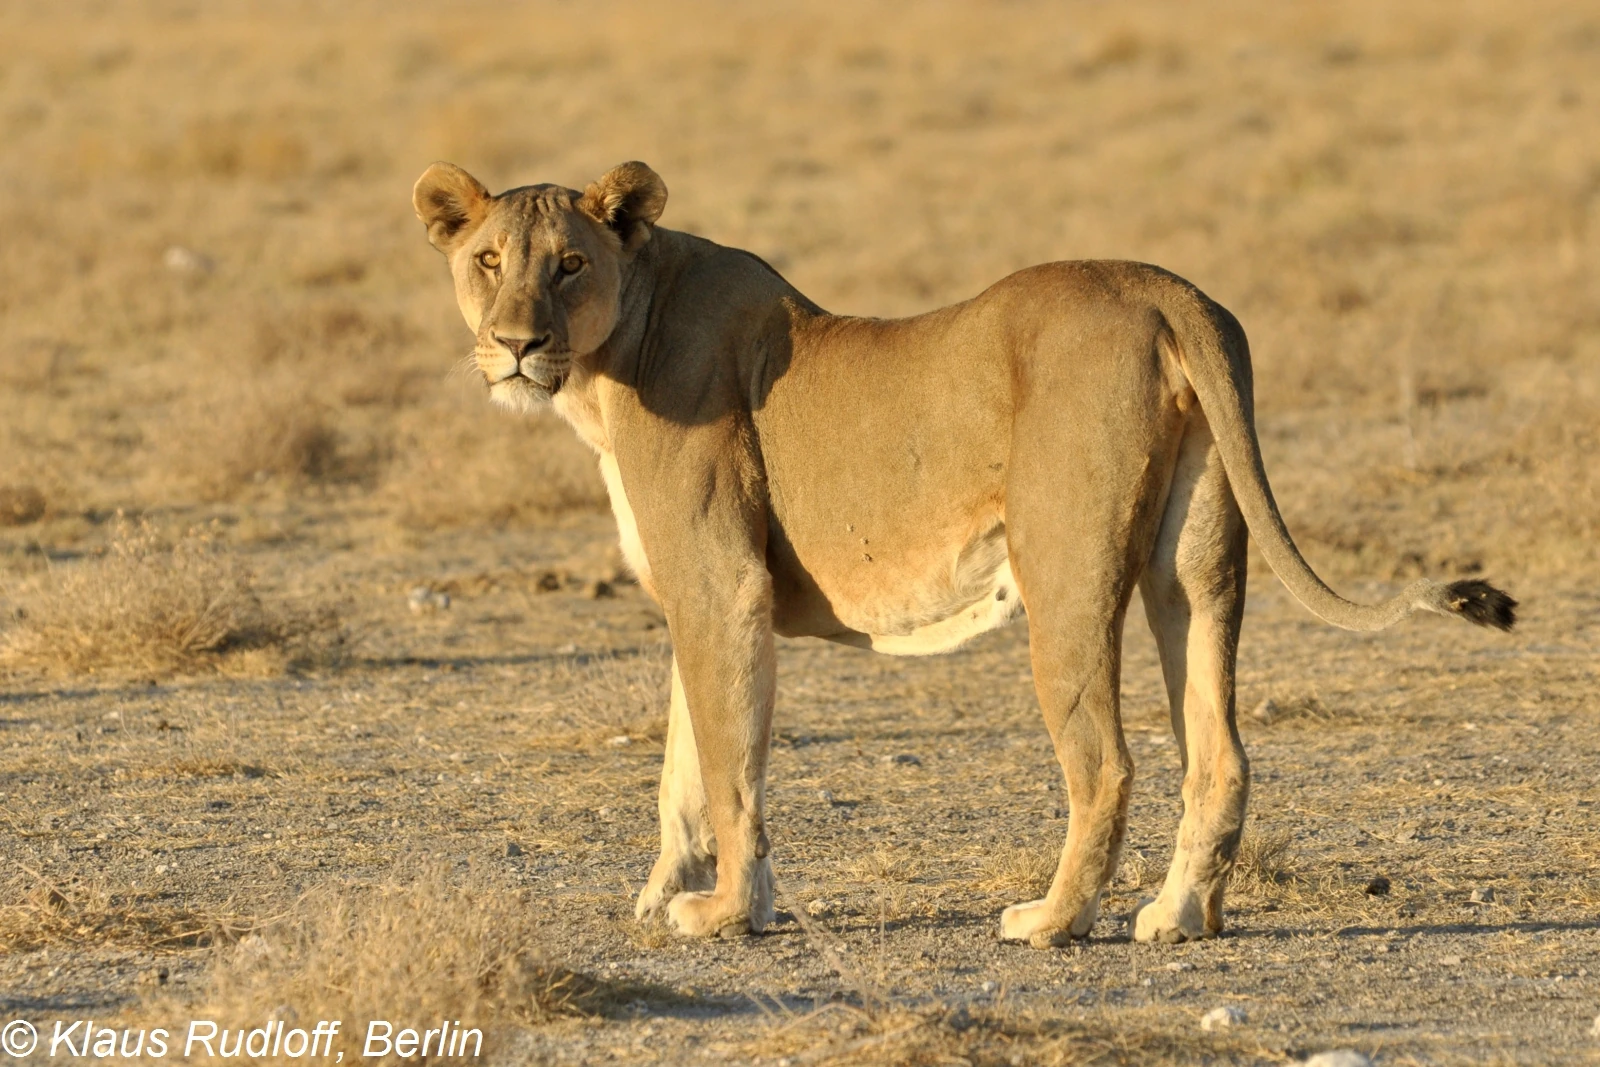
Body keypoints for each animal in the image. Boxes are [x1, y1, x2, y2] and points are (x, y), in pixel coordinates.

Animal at [413, 160, 1515, 946]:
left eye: (569, 264)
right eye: (489, 262)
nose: (515, 344)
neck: (610, 362)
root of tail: (1161, 286)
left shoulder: (723, 584)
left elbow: (727, 769)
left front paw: (725, 914)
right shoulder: (694, 595)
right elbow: (684, 762)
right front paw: (664, 894)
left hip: (1063, 563)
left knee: (1106, 762)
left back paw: (1051, 920)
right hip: (1195, 564)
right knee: (1221, 751)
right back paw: (1176, 916)